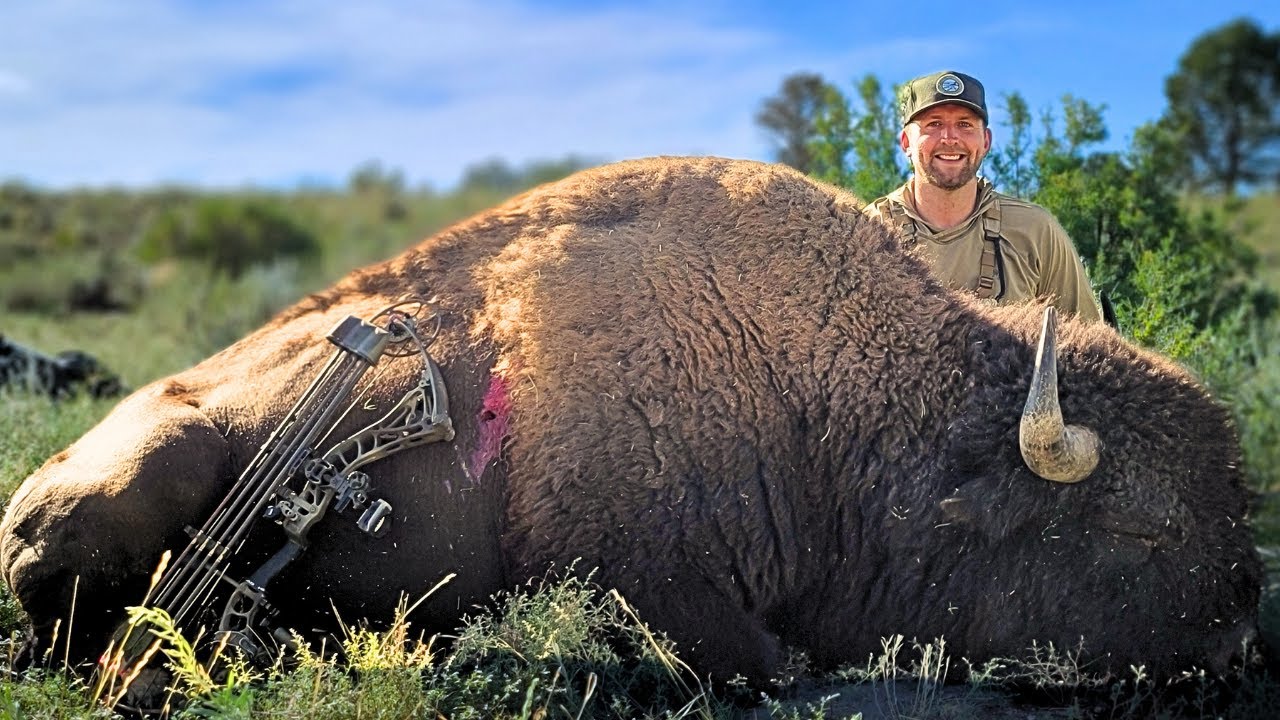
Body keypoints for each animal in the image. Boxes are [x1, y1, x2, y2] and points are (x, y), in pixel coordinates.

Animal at [0, 157, 1262, 690]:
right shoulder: (650, 583)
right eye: (1143, 531)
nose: (1241, 641)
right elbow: (766, 661)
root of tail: (24, 500)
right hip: (158, 463)